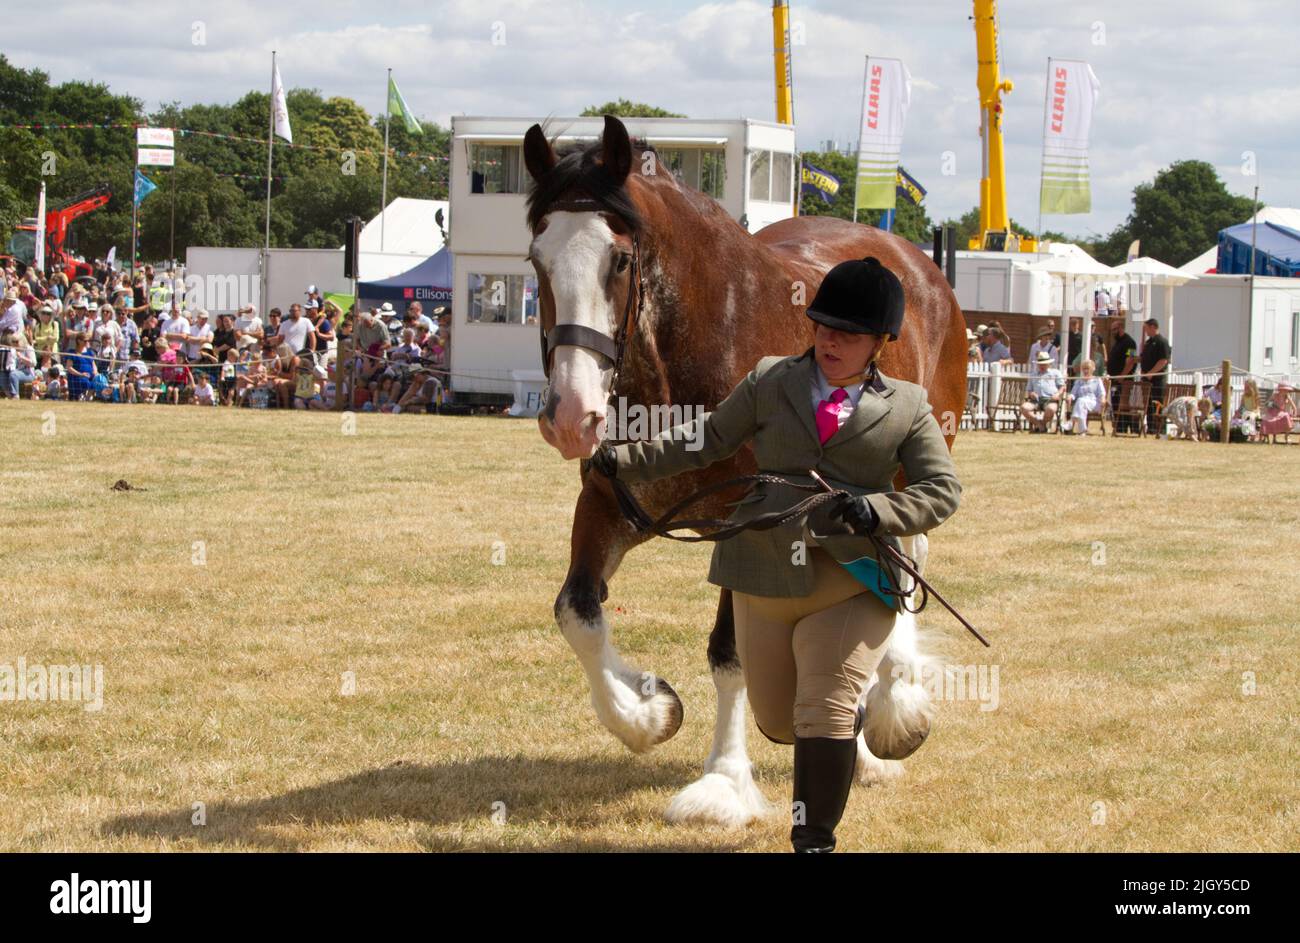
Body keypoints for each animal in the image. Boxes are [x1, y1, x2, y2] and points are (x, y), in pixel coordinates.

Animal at [525, 115, 967, 825]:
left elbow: (731, 654)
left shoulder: (753, 523)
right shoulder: (608, 503)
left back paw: (891, 716)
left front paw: (723, 783)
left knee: (899, 561)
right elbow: (577, 613)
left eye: (618, 260)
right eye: (536, 261)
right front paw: (648, 710)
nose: (570, 415)